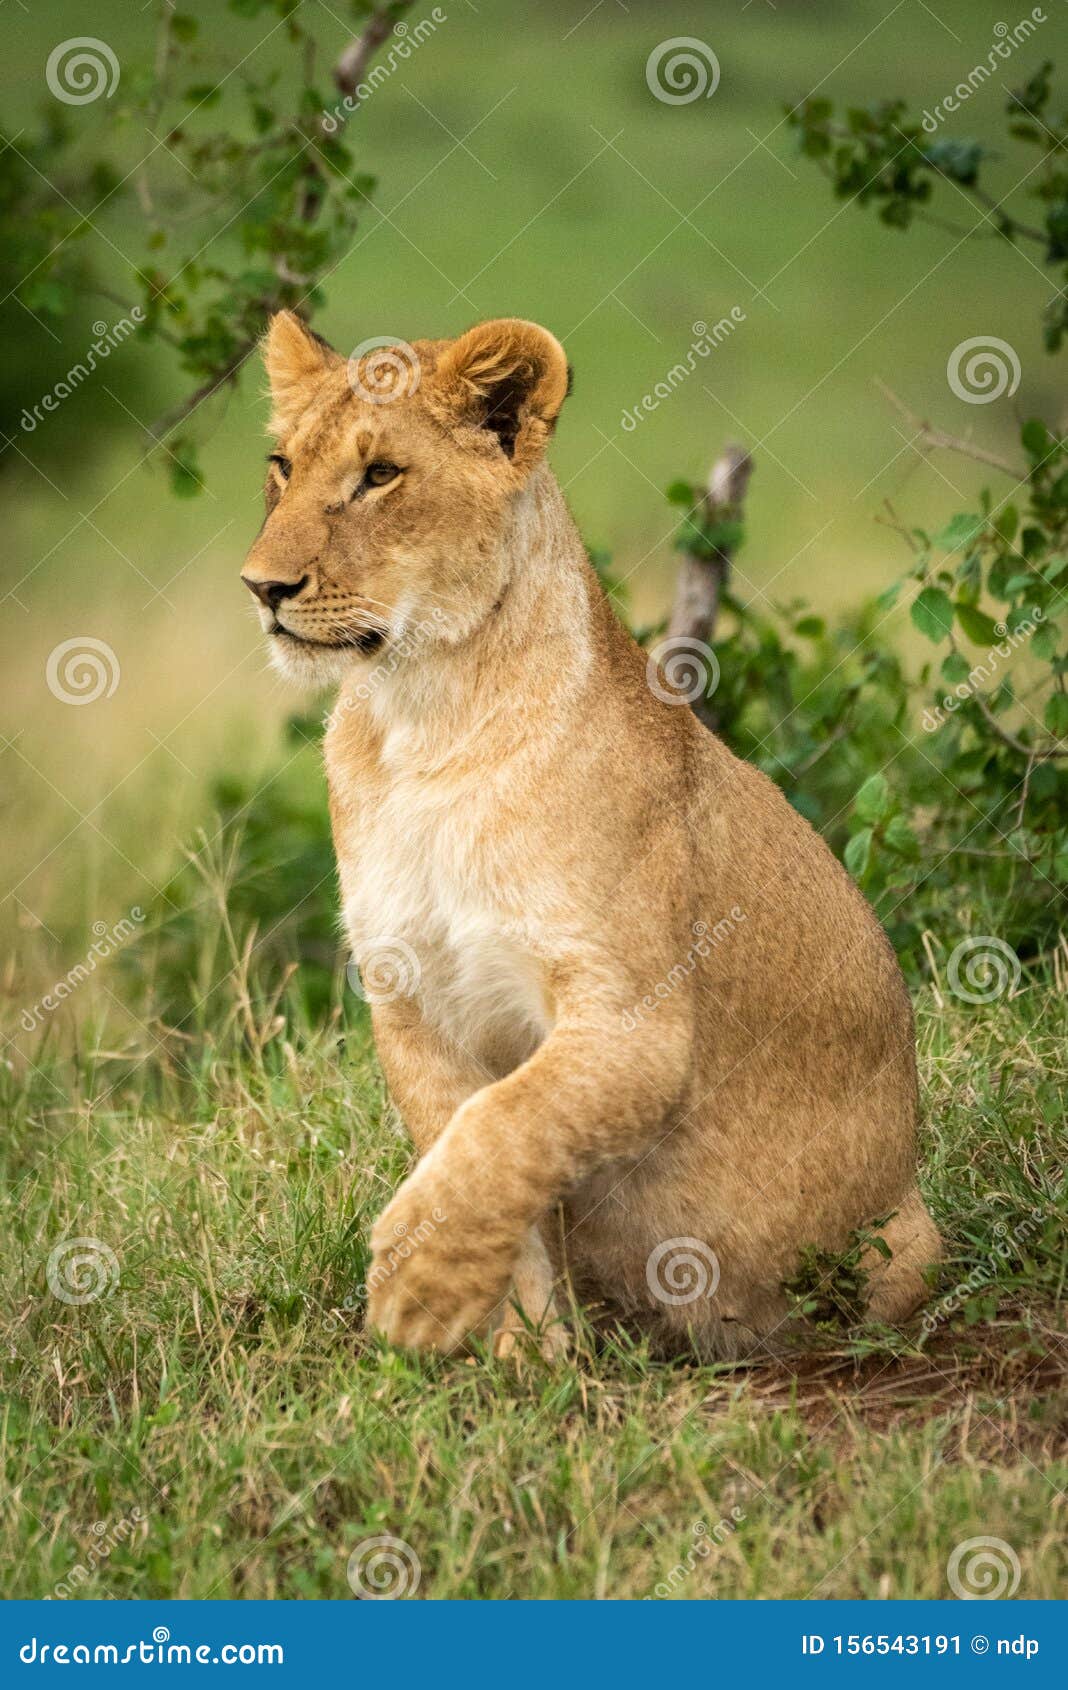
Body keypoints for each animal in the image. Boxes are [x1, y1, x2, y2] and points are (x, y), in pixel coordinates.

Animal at [241, 309, 941, 1359]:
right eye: (282, 465)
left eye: (380, 475)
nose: (263, 587)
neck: (422, 718)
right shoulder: (412, 1002)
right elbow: (475, 1149)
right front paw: (521, 1356)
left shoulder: (634, 1025)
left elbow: (503, 1126)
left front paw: (417, 1285)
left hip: (909, 1237)